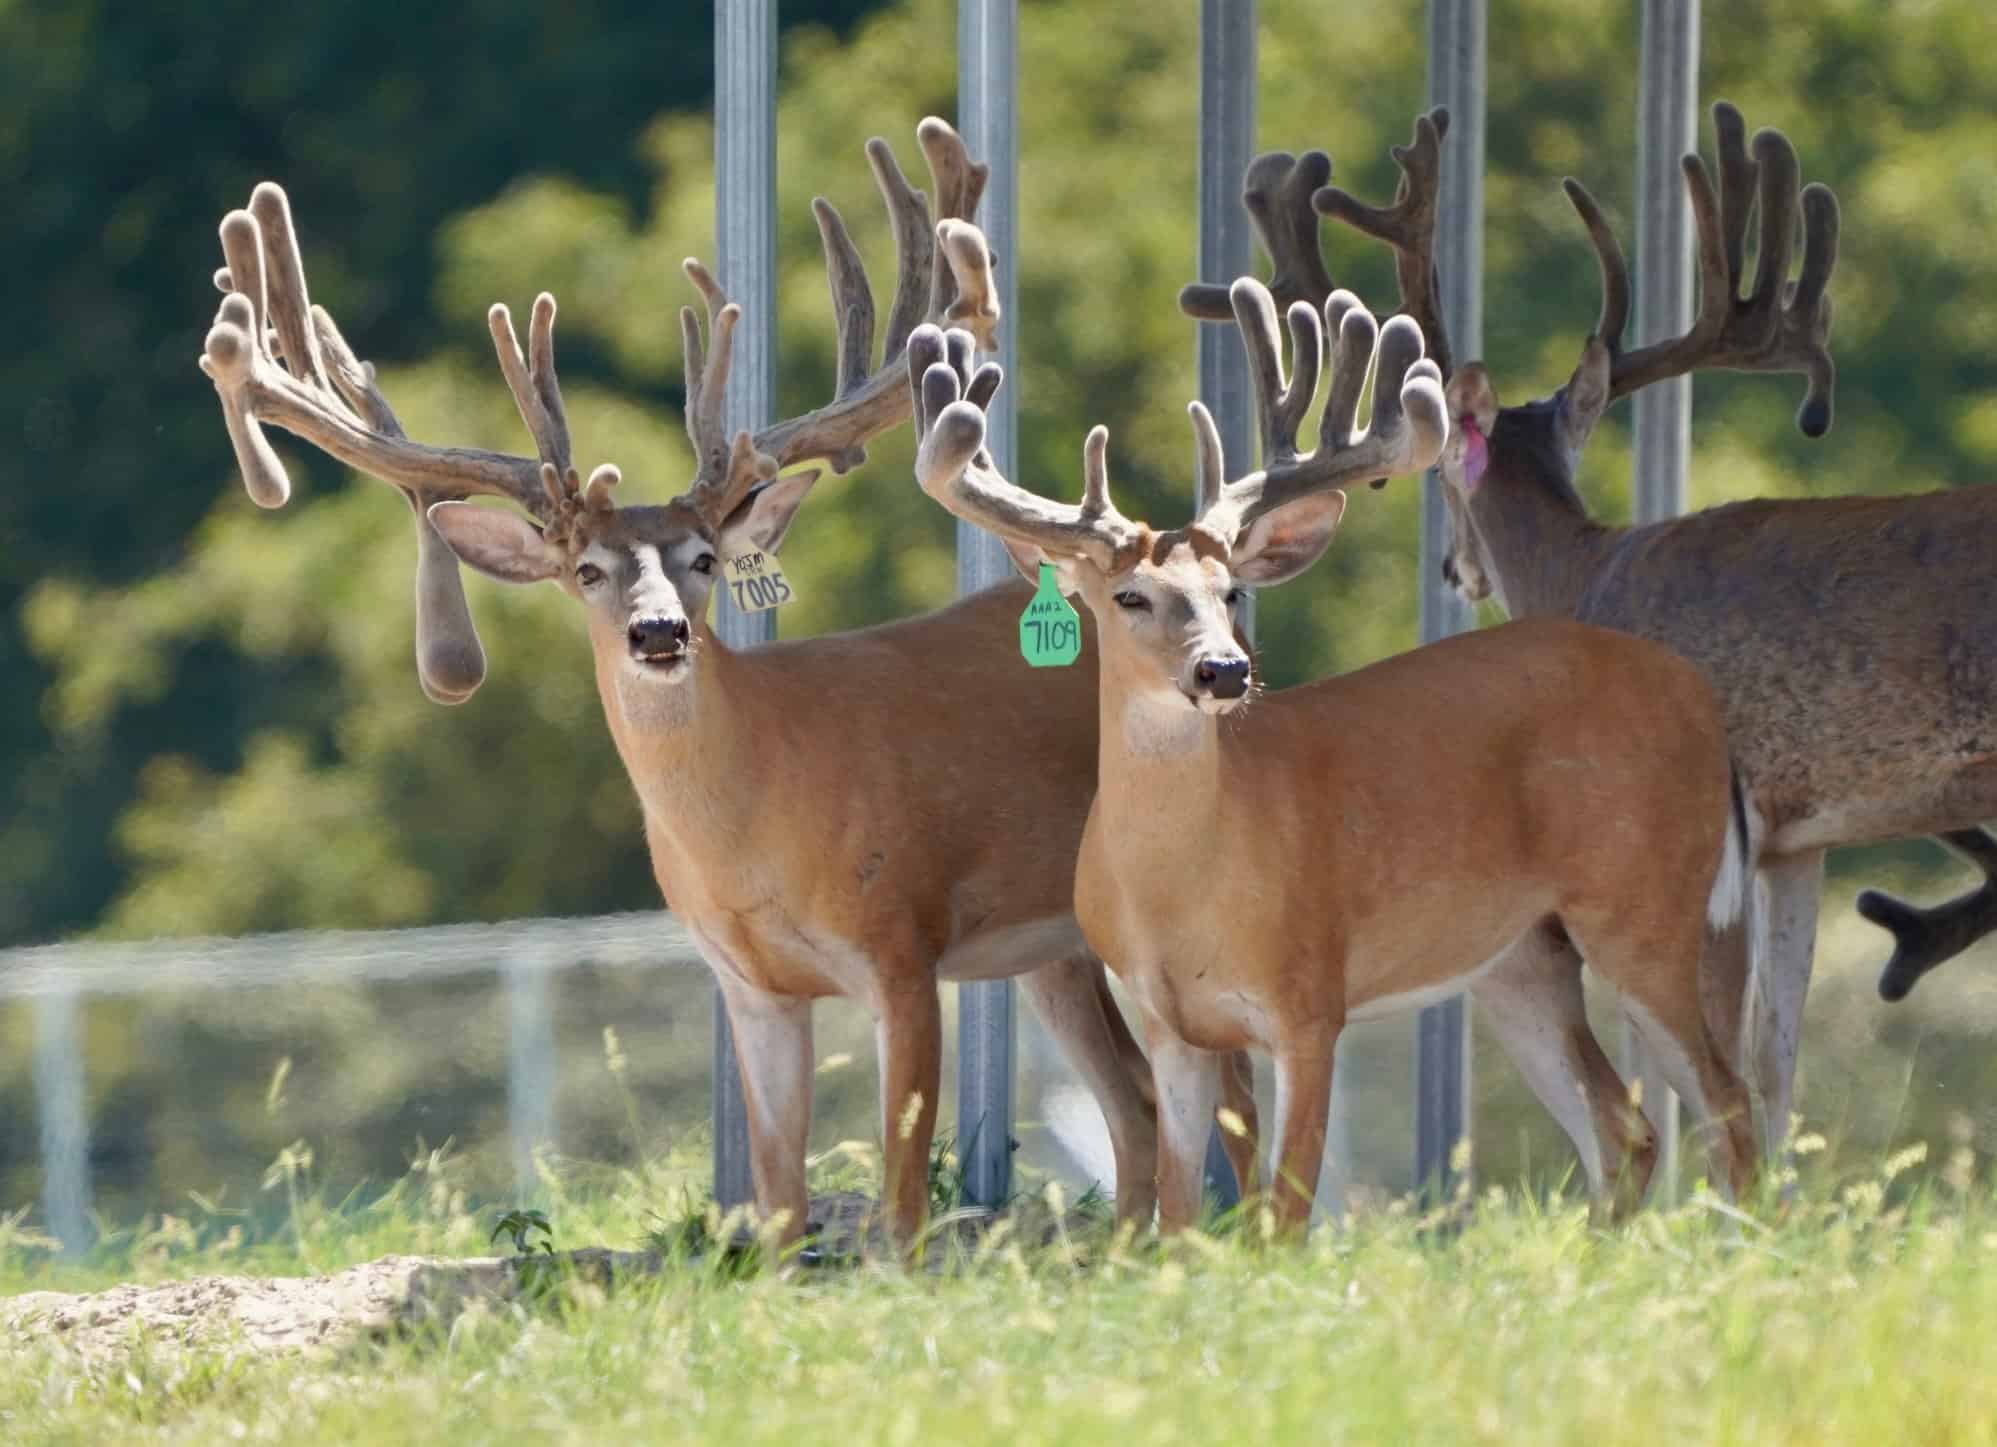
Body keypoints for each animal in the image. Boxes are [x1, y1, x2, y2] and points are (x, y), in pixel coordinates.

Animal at [195, 119, 1259, 1249]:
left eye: (703, 558)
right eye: (586, 569)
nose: (659, 630)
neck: (756, 826)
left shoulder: (901, 940)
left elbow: (898, 1200)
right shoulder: (748, 983)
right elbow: (779, 1198)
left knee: (1214, 1093)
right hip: (1055, 944)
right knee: (1135, 1104)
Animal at [905, 267, 1760, 1232]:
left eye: (1229, 590)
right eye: (1128, 595)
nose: (1224, 670)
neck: (1185, 884)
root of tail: (1696, 698)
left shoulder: (1308, 999)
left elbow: (1285, 1209)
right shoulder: (1171, 1024)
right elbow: (1179, 1213)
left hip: (1644, 906)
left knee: (1729, 1107)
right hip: (1518, 958)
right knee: (1626, 1127)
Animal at [1198, 101, 1997, 1157]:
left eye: (1437, 478)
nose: (1454, 568)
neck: (1581, 575)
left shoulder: (1715, 832)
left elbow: (1711, 1061)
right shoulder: (1793, 838)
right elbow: (1774, 1063)